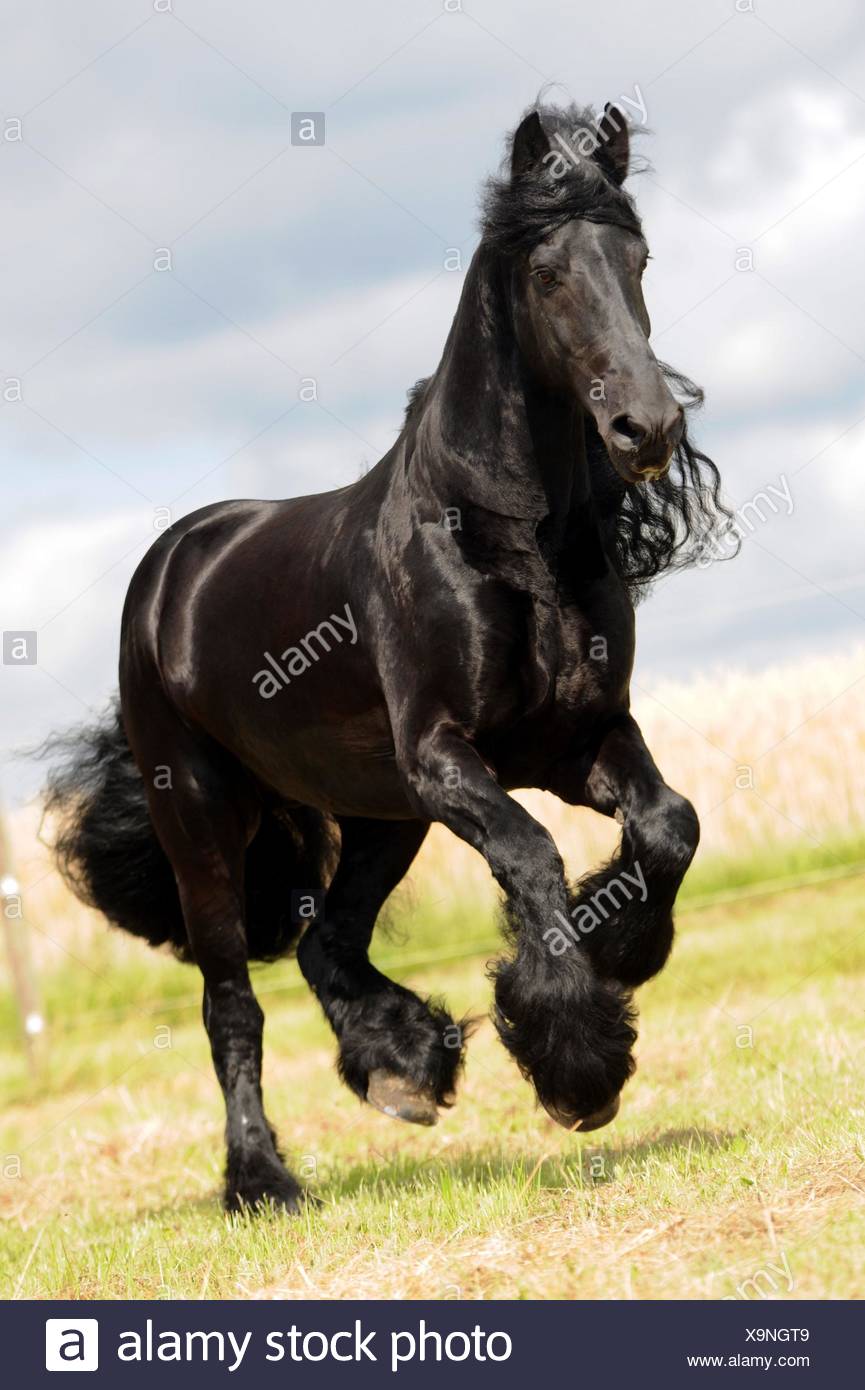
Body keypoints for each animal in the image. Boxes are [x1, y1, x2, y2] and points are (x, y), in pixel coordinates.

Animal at [45, 102, 732, 1213]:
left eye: (637, 260)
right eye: (547, 271)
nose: (647, 427)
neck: (505, 537)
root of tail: (170, 568)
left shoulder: (577, 741)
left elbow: (670, 825)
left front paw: (618, 955)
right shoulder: (448, 755)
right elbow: (531, 855)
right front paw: (576, 1067)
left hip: (378, 812)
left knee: (327, 938)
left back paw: (402, 1067)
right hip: (203, 817)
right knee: (231, 1000)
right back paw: (262, 1181)